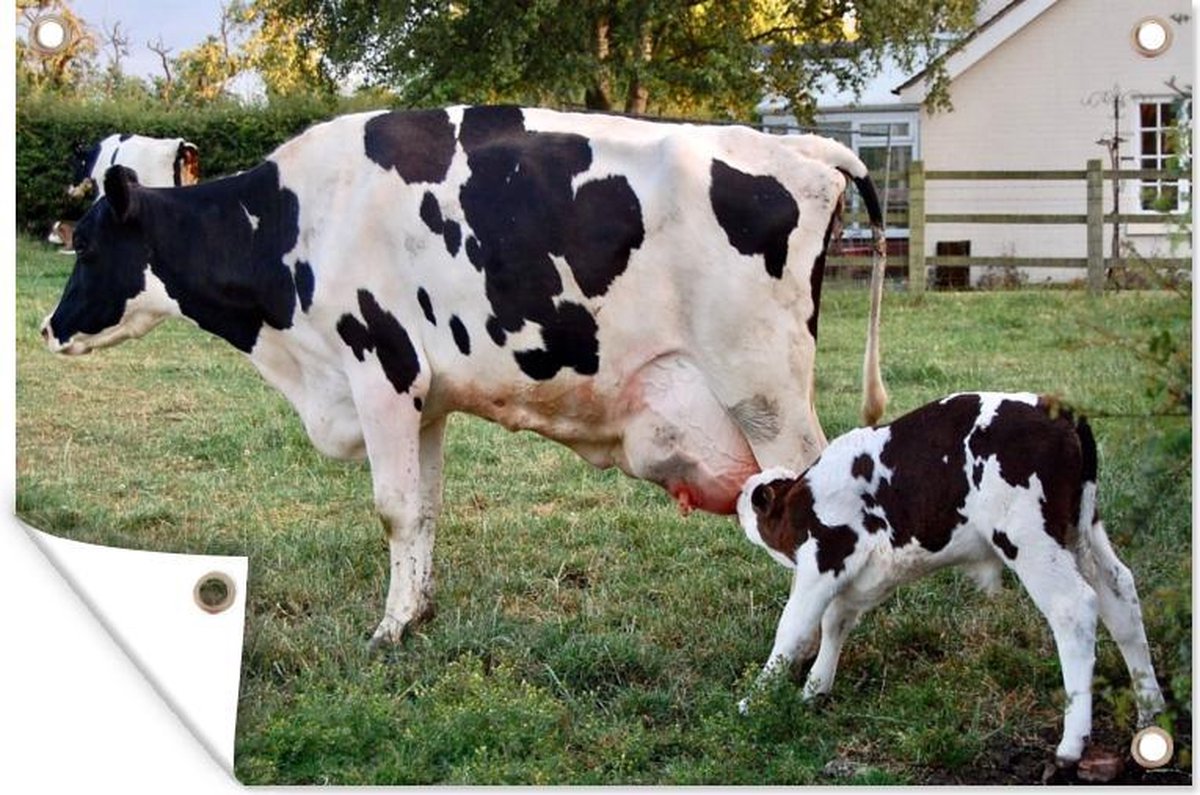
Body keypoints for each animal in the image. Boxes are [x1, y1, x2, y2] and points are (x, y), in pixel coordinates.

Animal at [736, 392, 1165, 766]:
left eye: (760, 498)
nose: (741, 491)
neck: (805, 499)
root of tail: (1055, 408)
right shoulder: (863, 576)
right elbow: (834, 622)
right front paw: (815, 688)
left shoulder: (824, 561)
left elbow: (793, 629)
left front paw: (755, 699)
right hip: (1083, 531)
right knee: (1120, 596)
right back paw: (1150, 711)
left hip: (1030, 540)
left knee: (1074, 608)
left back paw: (1072, 742)